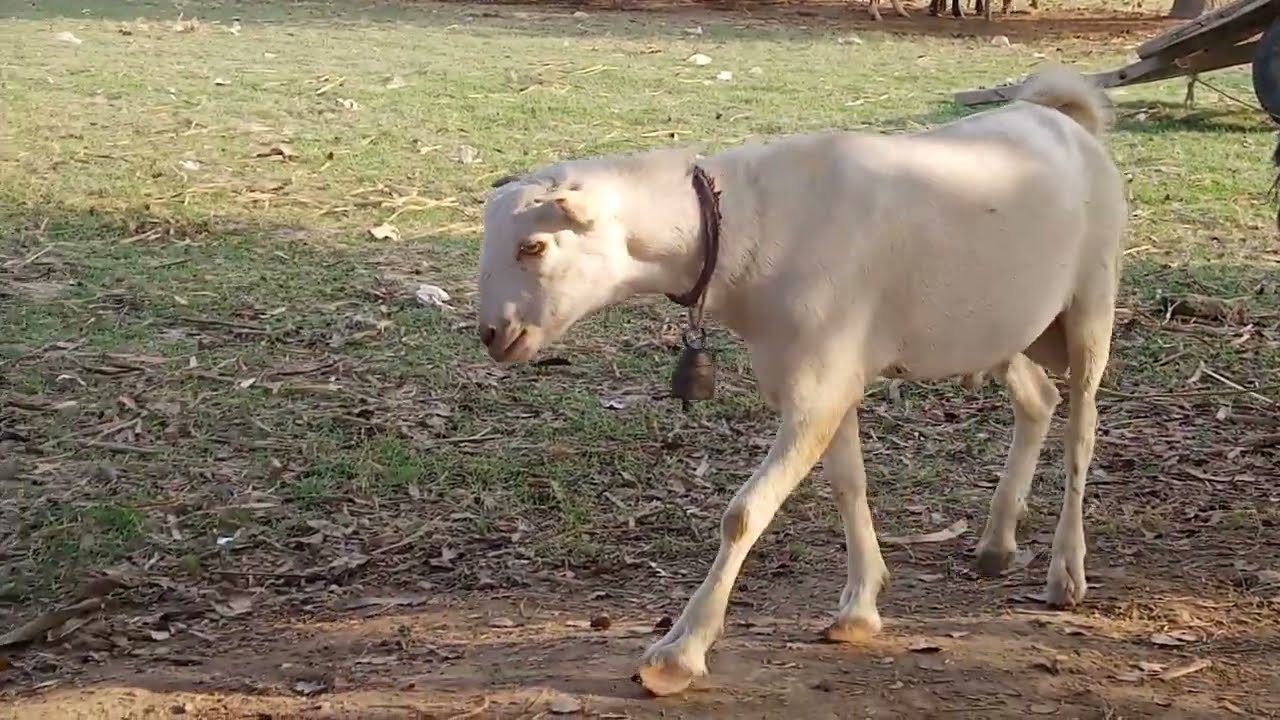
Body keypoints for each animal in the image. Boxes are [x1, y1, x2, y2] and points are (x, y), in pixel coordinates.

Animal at [476, 65, 1125, 697]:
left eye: (533, 245)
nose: (492, 333)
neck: (746, 226)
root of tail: (1062, 117)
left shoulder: (819, 386)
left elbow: (743, 513)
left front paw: (679, 653)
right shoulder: (827, 380)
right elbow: (848, 484)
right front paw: (859, 609)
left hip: (1092, 300)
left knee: (1082, 427)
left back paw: (1066, 572)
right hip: (997, 327)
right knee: (1038, 398)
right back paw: (996, 543)